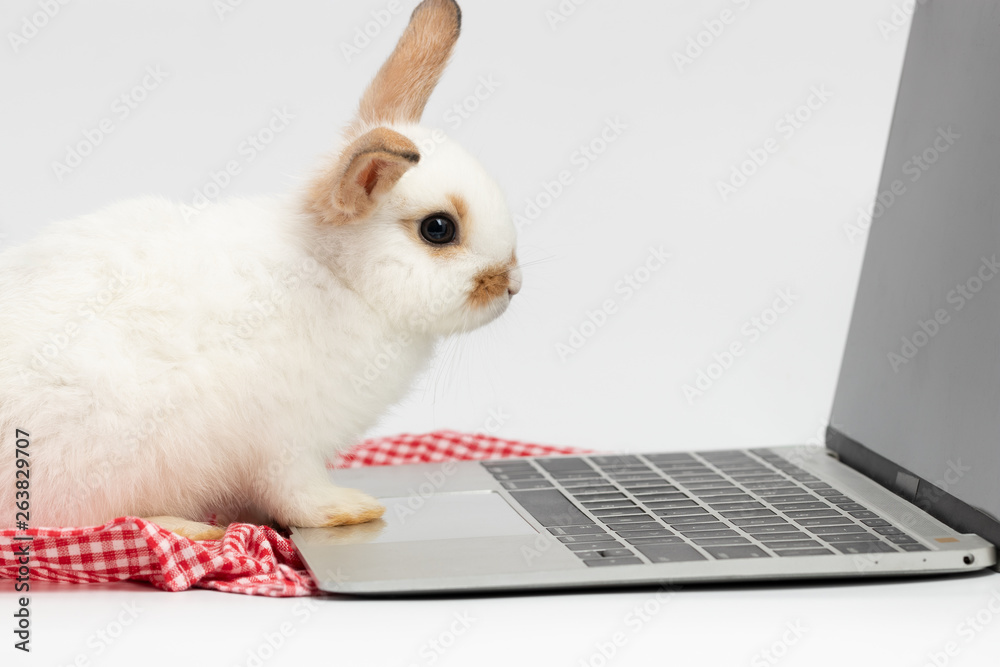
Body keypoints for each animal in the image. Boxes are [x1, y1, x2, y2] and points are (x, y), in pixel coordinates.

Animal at [0, 0, 520, 540]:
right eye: (438, 229)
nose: (512, 284)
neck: (339, 276)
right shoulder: (287, 445)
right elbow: (297, 494)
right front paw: (350, 509)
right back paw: (188, 529)